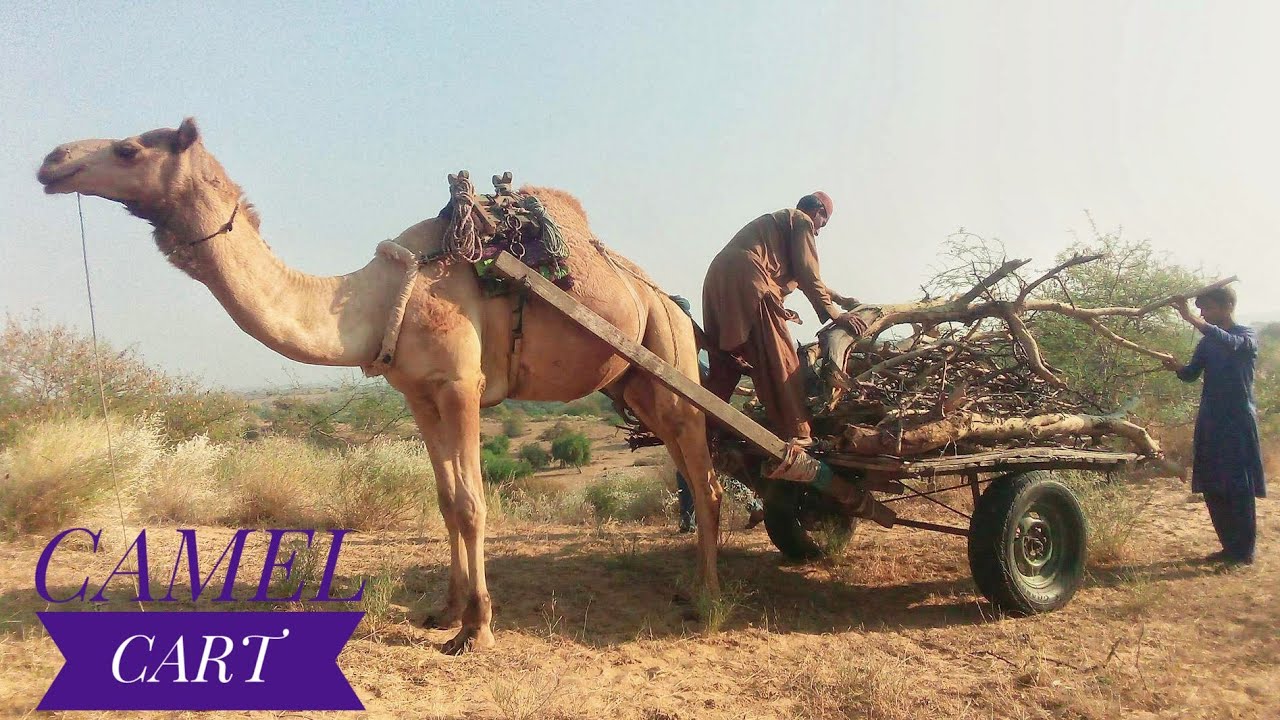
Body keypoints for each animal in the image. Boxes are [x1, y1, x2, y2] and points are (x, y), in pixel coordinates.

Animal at [37, 118, 724, 654]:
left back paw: (706, 598)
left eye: (129, 148)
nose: (52, 160)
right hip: (633, 381)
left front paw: (476, 631)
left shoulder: (462, 384)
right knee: (688, 463)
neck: (372, 302)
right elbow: (447, 501)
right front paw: (445, 611)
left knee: (703, 470)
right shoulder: (418, 392)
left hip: (668, 355)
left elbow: (474, 504)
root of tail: (669, 301)